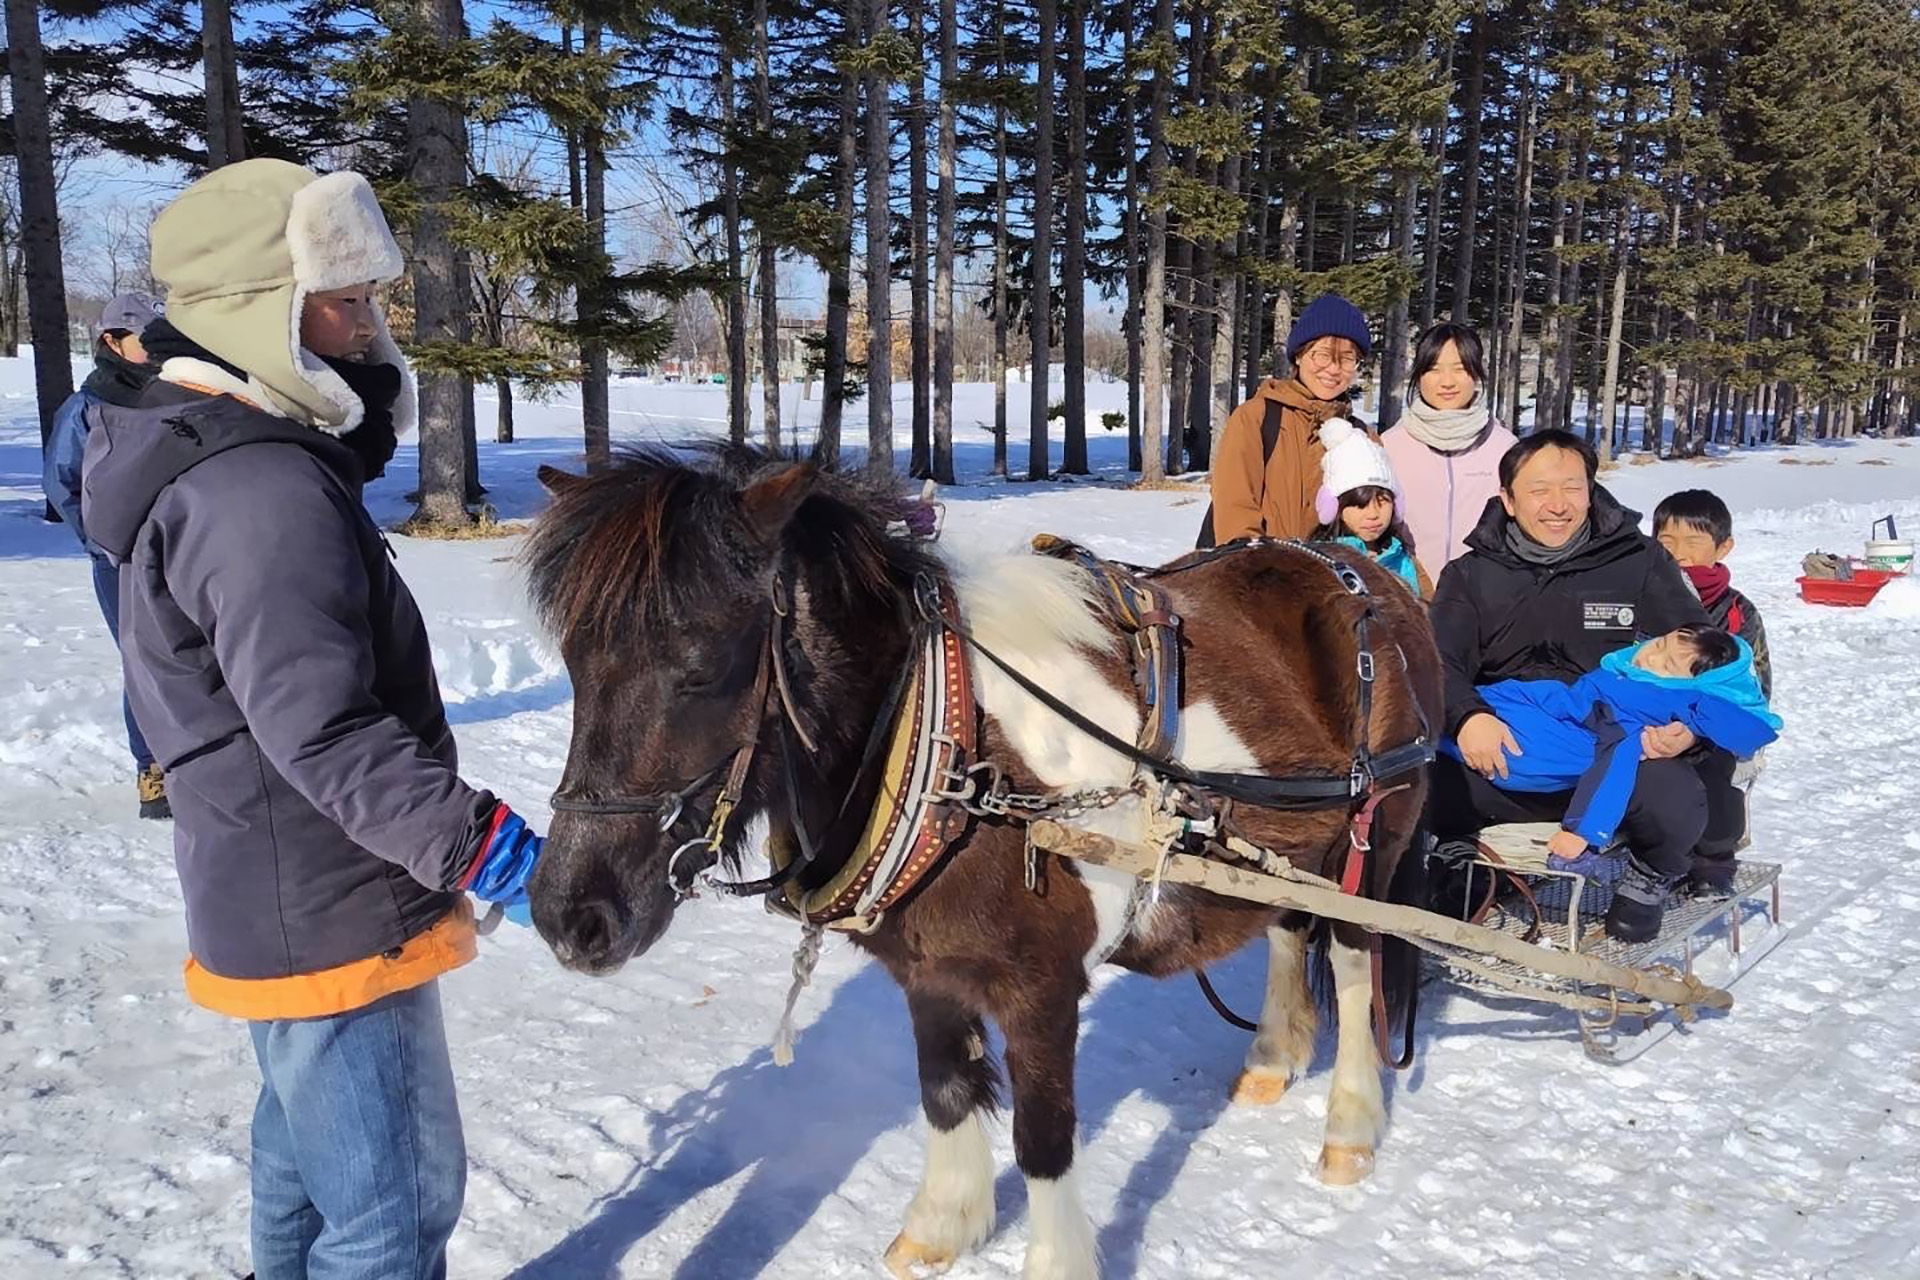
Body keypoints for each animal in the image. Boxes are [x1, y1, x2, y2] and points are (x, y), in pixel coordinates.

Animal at [522, 447, 1441, 1280]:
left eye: (702, 670)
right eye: (572, 665)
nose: (572, 917)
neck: (946, 740)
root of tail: (1367, 573)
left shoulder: (1043, 988)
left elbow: (1042, 1139)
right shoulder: (928, 969)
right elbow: (946, 1093)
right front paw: (938, 1228)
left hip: (1376, 843)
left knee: (1353, 967)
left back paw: (1349, 1129)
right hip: (1292, 847)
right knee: (1288, 926)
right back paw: (1272, 1061)